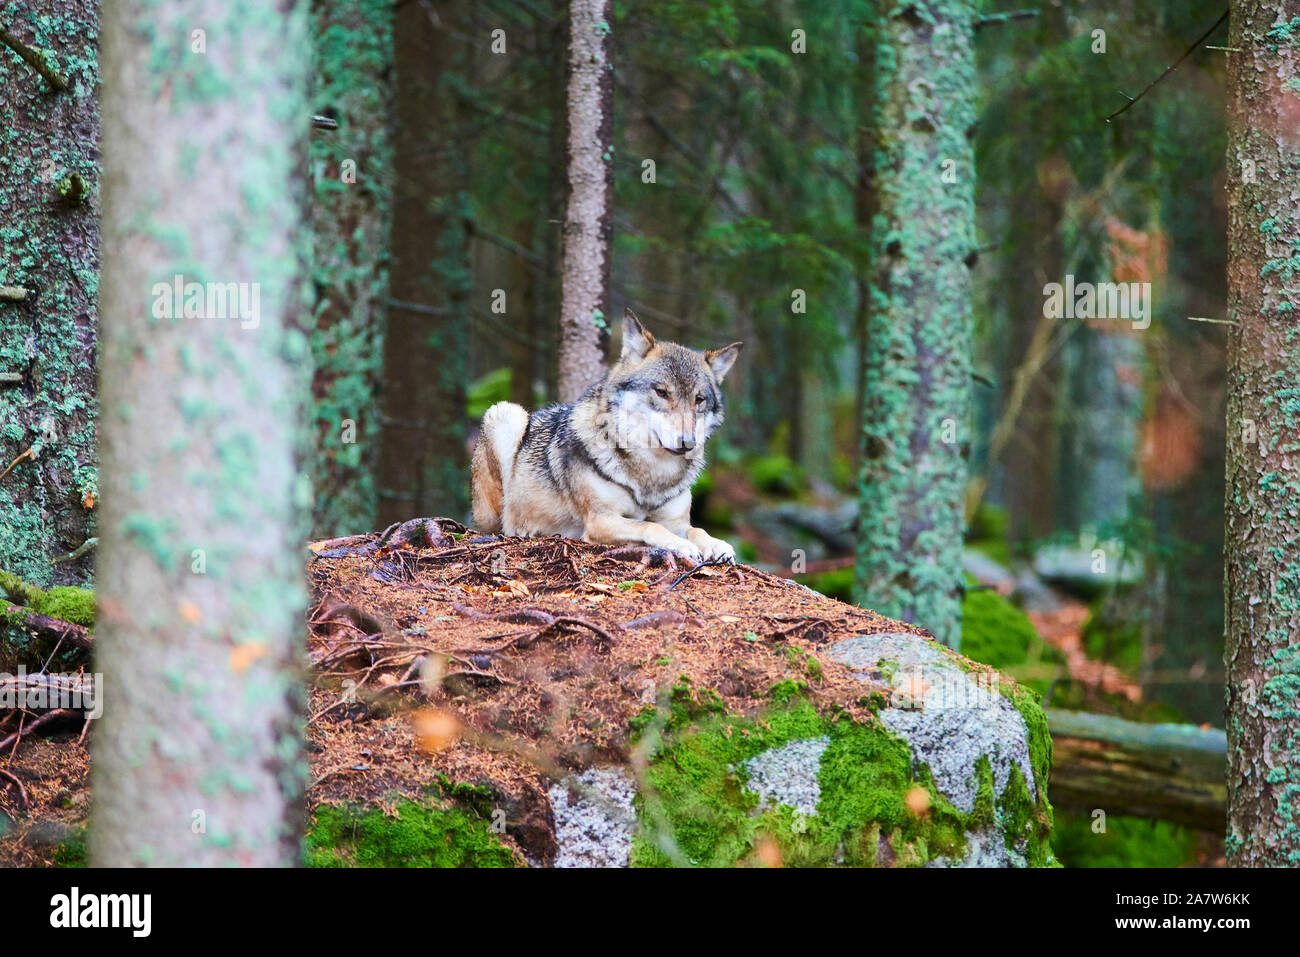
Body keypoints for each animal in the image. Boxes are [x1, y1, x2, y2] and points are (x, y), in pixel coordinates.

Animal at [471, 309, 742, 564]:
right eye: (662, 392)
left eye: (699, 399)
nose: (688, 442)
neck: (651, 475)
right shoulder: (600, 520)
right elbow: (650, 525)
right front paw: (681, 545)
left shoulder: (677, 522)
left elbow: (697, 529)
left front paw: (717, 544)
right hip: (506, 414)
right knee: (503, 527)